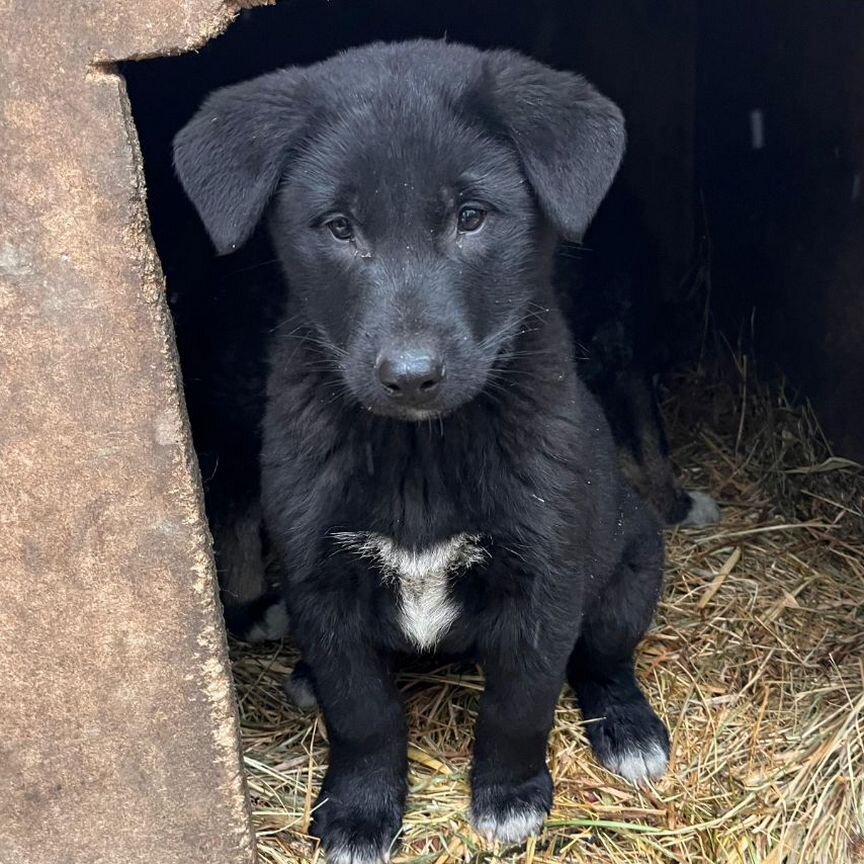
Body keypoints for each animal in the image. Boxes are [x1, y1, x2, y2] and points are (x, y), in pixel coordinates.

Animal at [176, 40, 672, 864]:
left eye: (471, 218)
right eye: (338, 227)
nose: (410, 376)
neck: (419, 451)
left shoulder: (544, 582)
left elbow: (520, 703)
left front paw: (510, 797)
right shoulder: (322, 584)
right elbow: (363, 713)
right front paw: (359, 811)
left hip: (632, 563)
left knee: (604, 657)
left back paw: (628, 726)